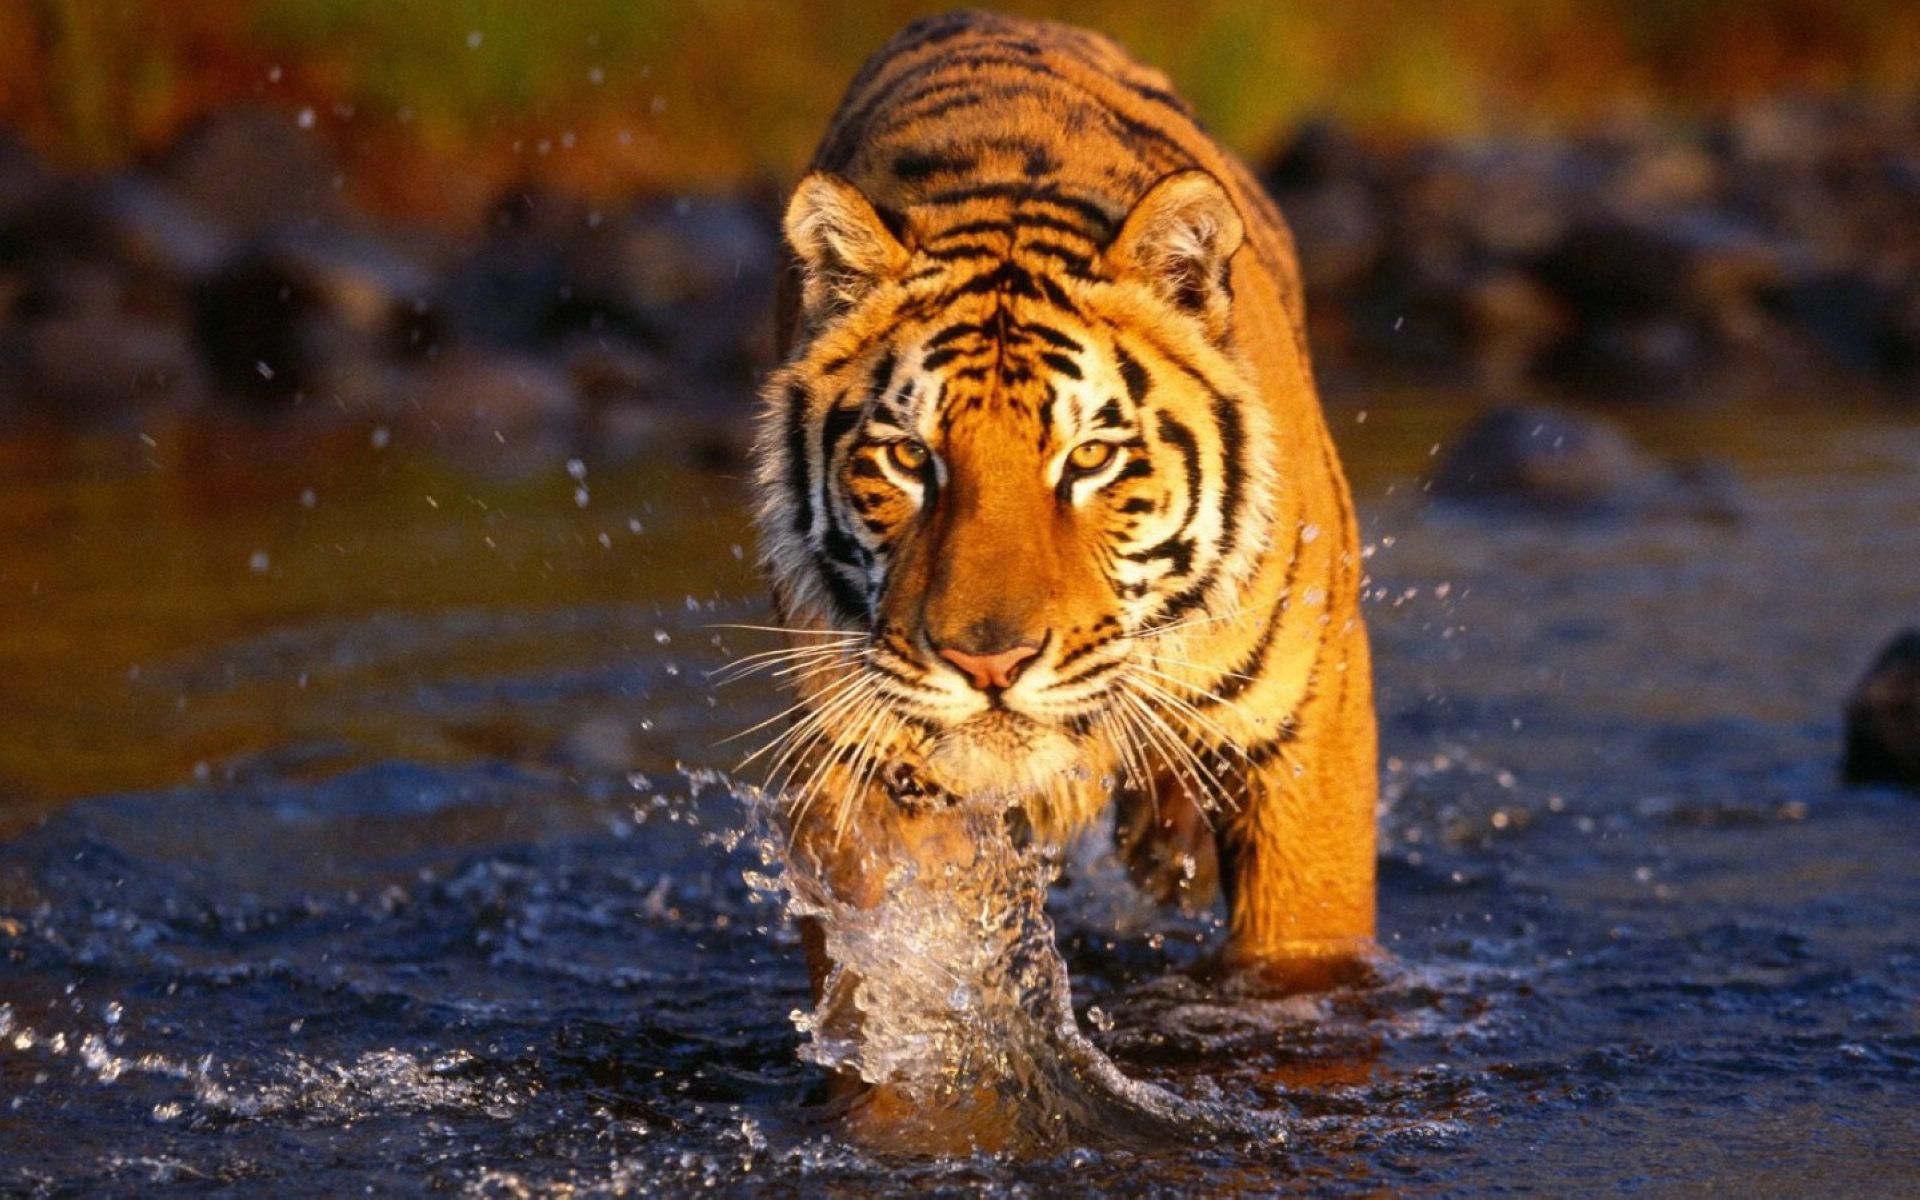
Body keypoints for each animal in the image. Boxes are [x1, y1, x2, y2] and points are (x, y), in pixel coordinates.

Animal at [747, 9, 1377, 992]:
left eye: (1089, 459)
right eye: (909, 457)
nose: (989, 666)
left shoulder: (1308, 730)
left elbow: (1302, 947)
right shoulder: (857, 759)